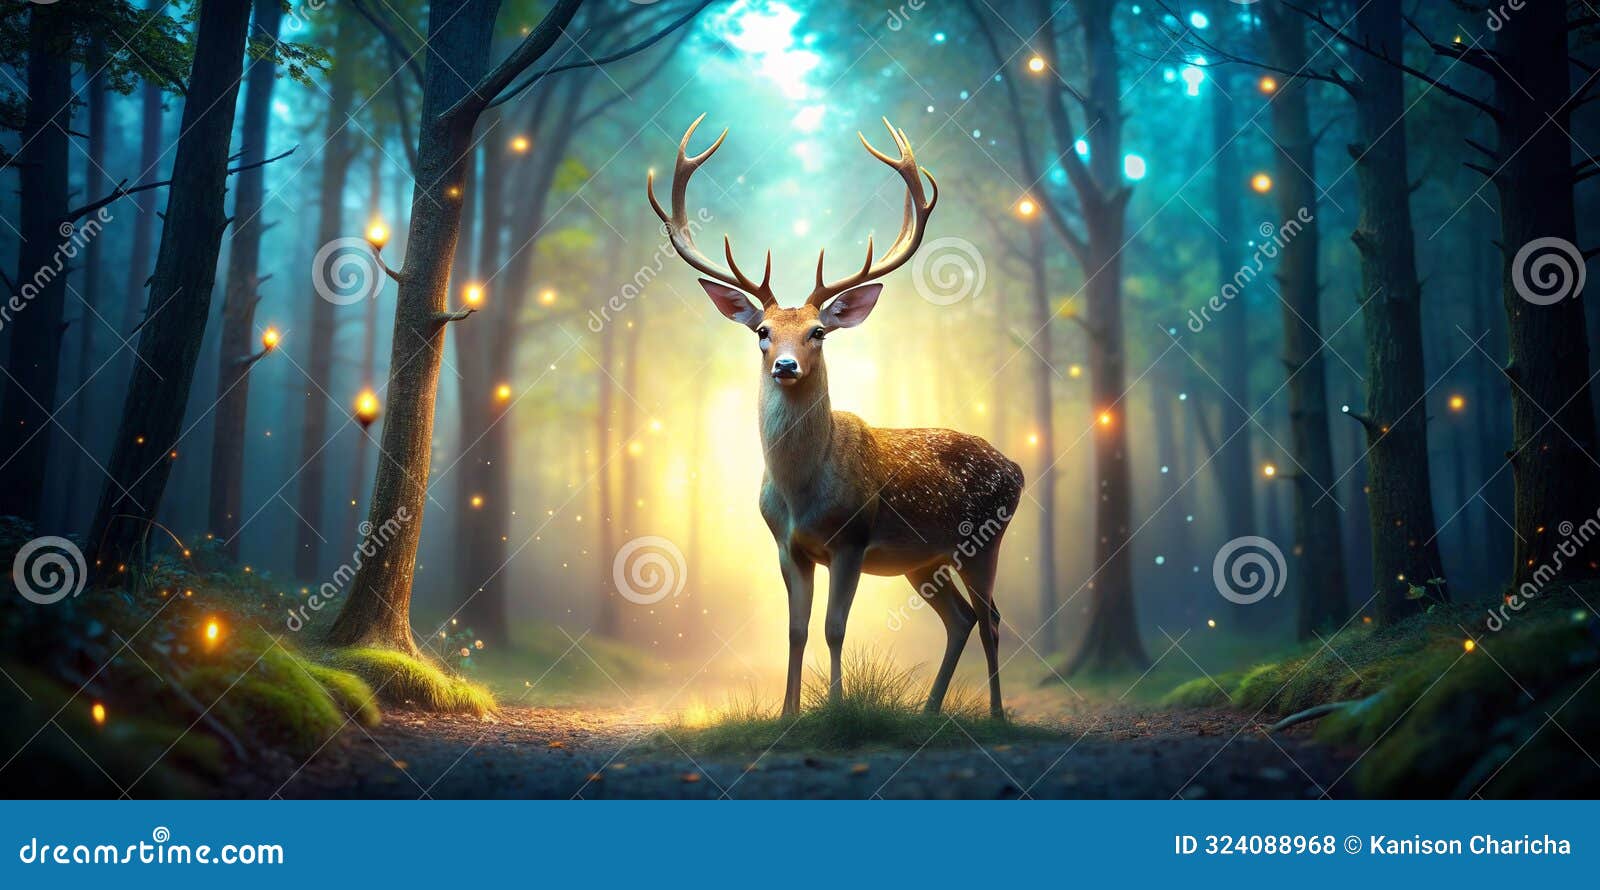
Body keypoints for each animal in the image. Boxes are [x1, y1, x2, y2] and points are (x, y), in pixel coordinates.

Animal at [648, 115, 1024, 719]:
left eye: (818, 331)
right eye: (762, 331)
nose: (785, 365)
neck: (802, 494)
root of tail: (1017, 468)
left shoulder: (852, 538)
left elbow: (835, 627)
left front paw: (838, 710)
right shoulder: (786, 546)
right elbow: (797, 629)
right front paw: (788, 714)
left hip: (985, 539)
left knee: (990, 617)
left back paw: (994, 714)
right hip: (924, 560)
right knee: (961, 618)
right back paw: (929, 711)